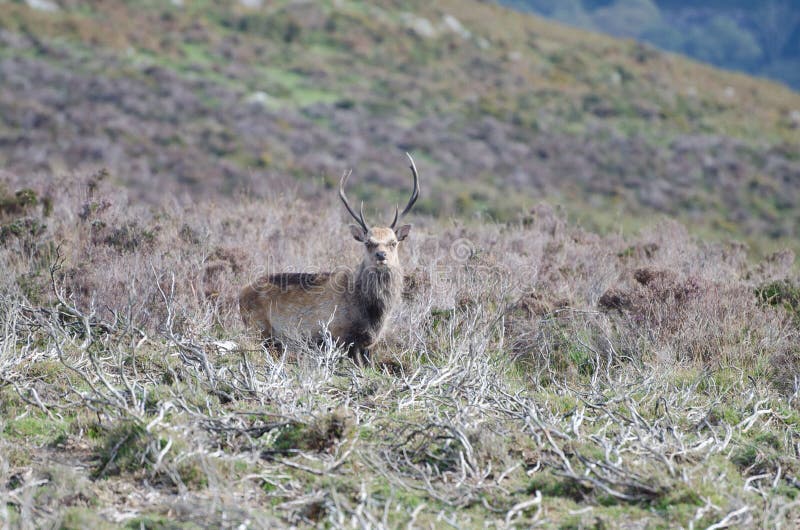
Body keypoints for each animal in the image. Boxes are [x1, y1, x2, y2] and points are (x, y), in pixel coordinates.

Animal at [239, 153, 420, 365]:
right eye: (368, 242)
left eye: (393, 242)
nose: (381, 255)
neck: (373, 315)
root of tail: (240, 295)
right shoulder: (339, 337)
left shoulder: (368, 346)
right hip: (258, 329)